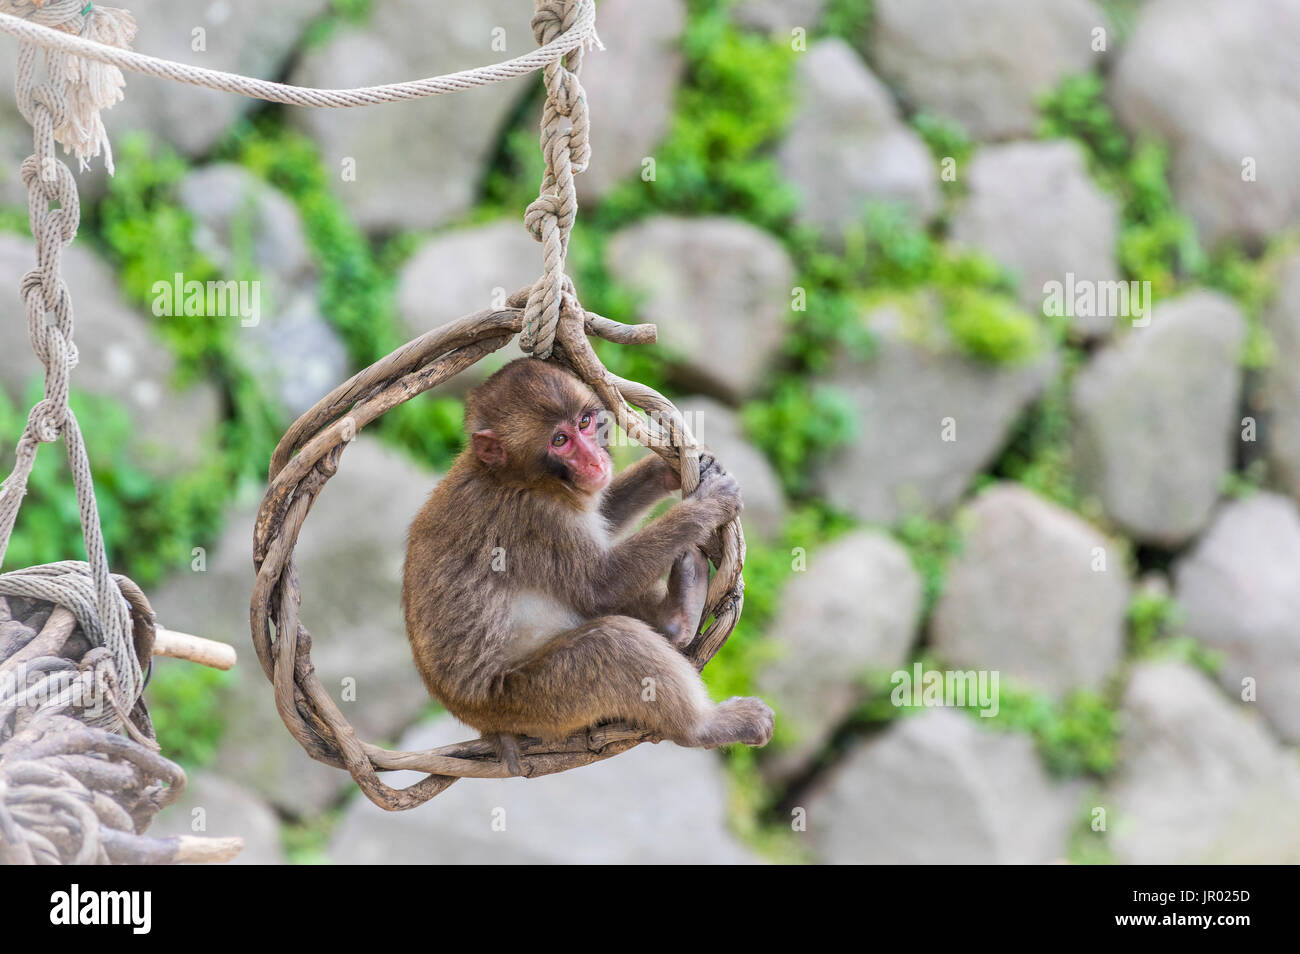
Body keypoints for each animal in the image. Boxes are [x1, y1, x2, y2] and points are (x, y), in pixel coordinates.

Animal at [401, 358, 774, 773]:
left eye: (583, 423)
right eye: (559, 441)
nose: (595, 460)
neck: (517, 478)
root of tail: (479, 721)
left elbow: (604, 520)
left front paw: (667, 470)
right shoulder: (535, 520)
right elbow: (601, 585)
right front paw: (708, 503)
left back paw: (677, 616)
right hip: (533, 700)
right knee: (610, 641)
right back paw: (702, 725)